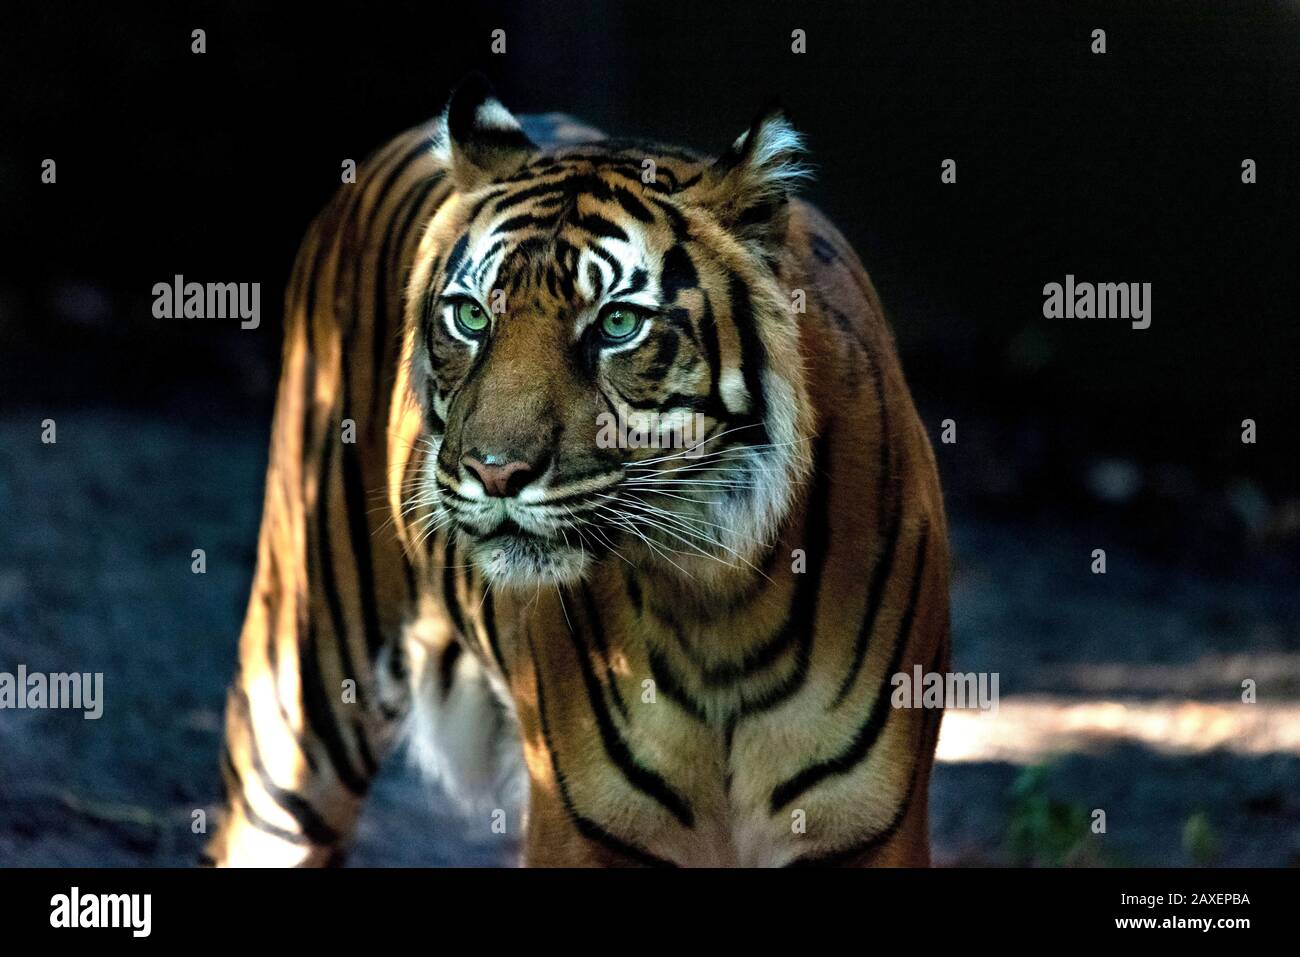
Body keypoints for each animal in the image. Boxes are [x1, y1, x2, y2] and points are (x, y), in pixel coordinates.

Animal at [205, 74, 951, 868]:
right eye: (472, 316)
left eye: (618, 324)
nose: (495, 471)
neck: (718, 606)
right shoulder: (583, 825)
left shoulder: (870, 829)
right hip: (293, 712)